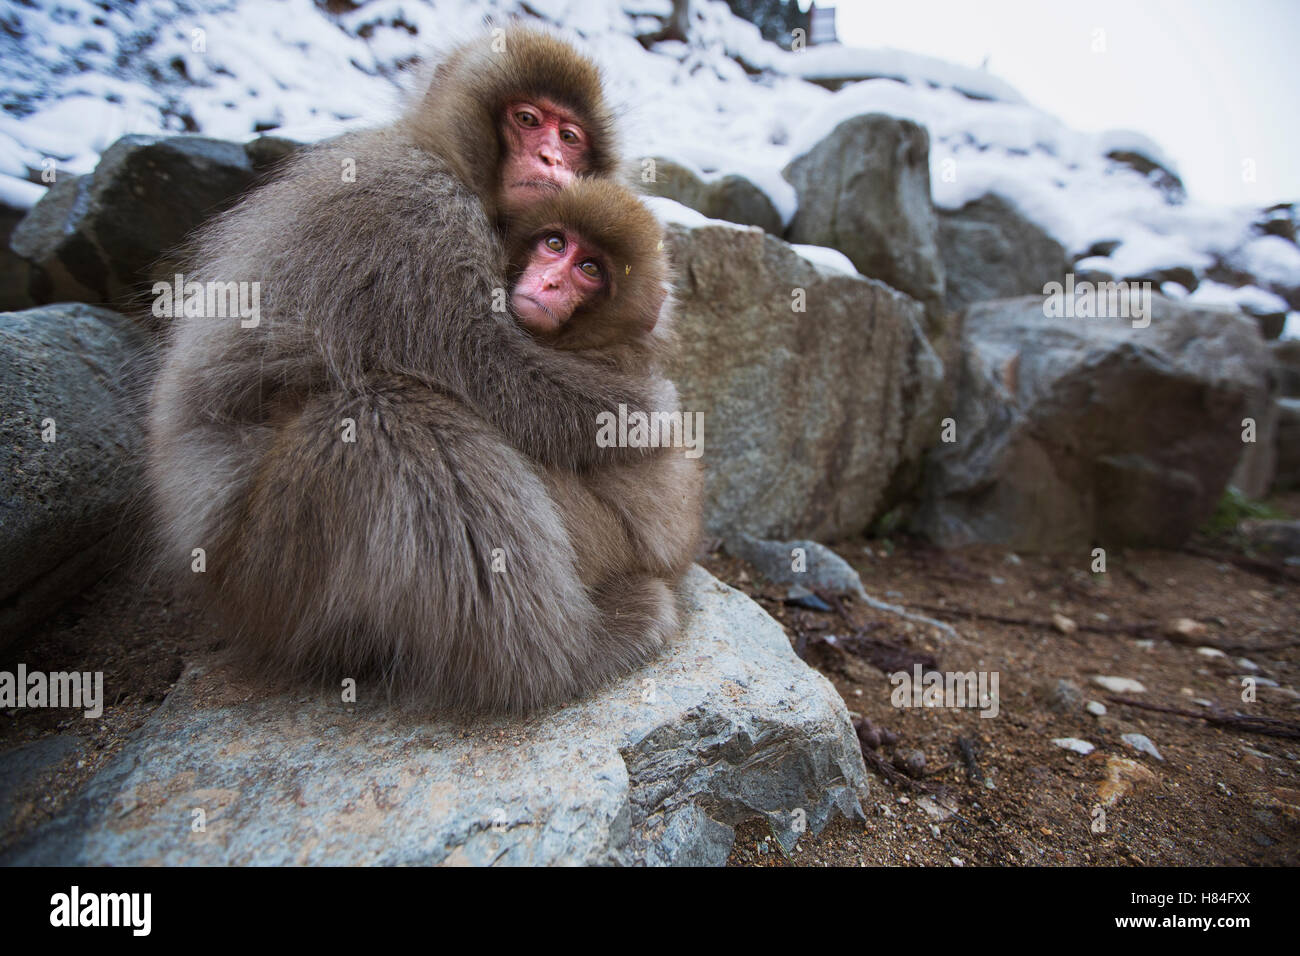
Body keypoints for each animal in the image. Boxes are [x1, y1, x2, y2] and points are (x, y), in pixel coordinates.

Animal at [146, 28, 697, 712]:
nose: (551, 159)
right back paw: (565, 656)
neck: (452, 163)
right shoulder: (418, 214)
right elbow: (494, 367)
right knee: (388, 422)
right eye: (527, 120)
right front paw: (654, 407)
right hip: (265, 561)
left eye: (570, 136)